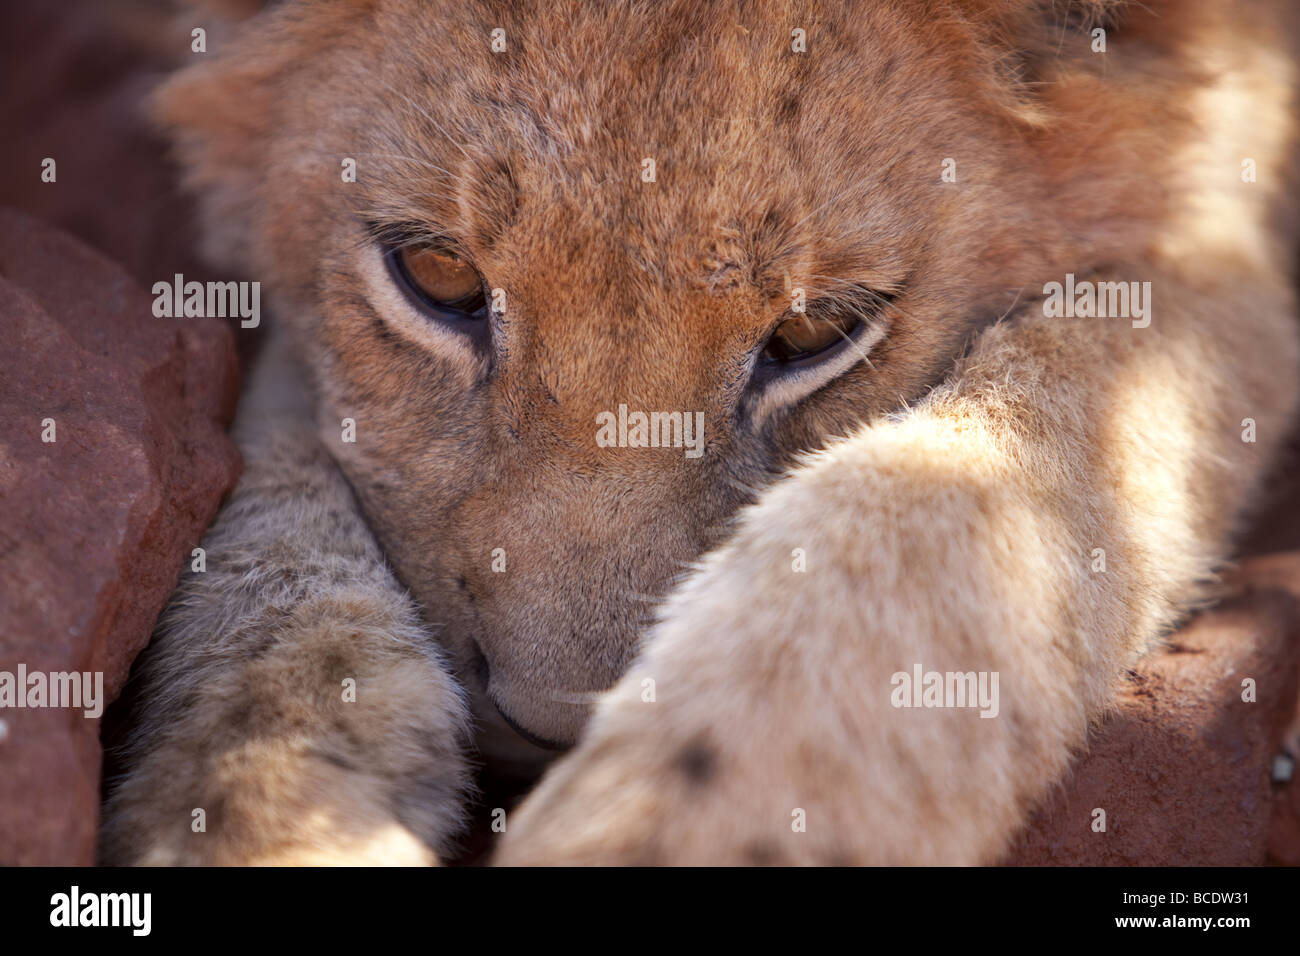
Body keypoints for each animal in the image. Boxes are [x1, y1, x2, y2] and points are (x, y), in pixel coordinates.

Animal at [99, 0, 1300, 865]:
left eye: (816, 330)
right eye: (434, 274)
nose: (549, 728)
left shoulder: (1224, 228)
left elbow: (963, 500)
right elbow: (278, 475)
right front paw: (262, 800)